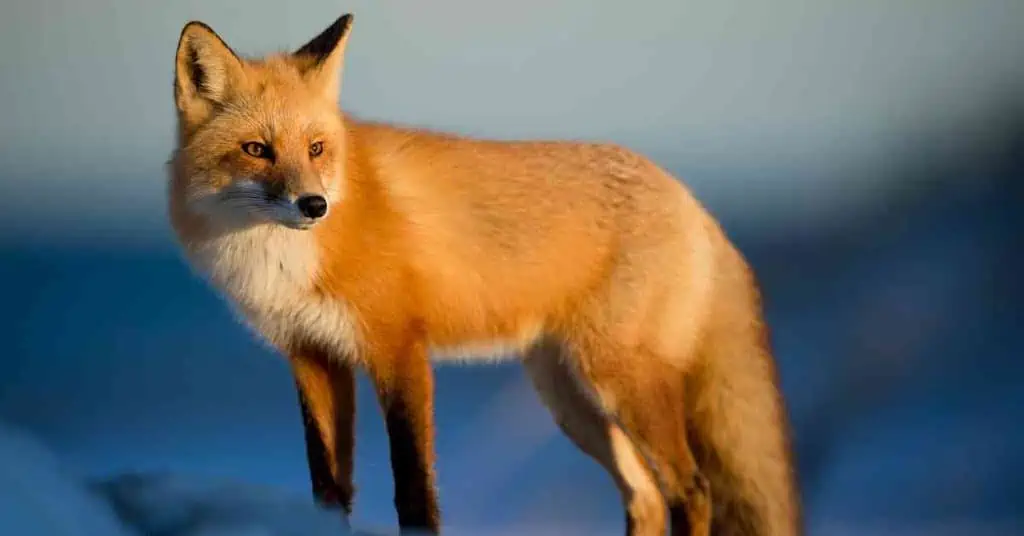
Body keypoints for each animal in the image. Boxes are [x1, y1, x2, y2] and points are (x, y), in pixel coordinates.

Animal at [167, 12, 801, 536]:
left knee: (692, 490)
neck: (283, 259)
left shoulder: (399, 350)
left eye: (317, 148)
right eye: (257, 150)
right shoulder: (312, 356)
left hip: (619, 381)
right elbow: (328, 489)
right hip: (571, 401)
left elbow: (414, 491)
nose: (314, 205)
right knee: (645, 497)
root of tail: (690, 199)